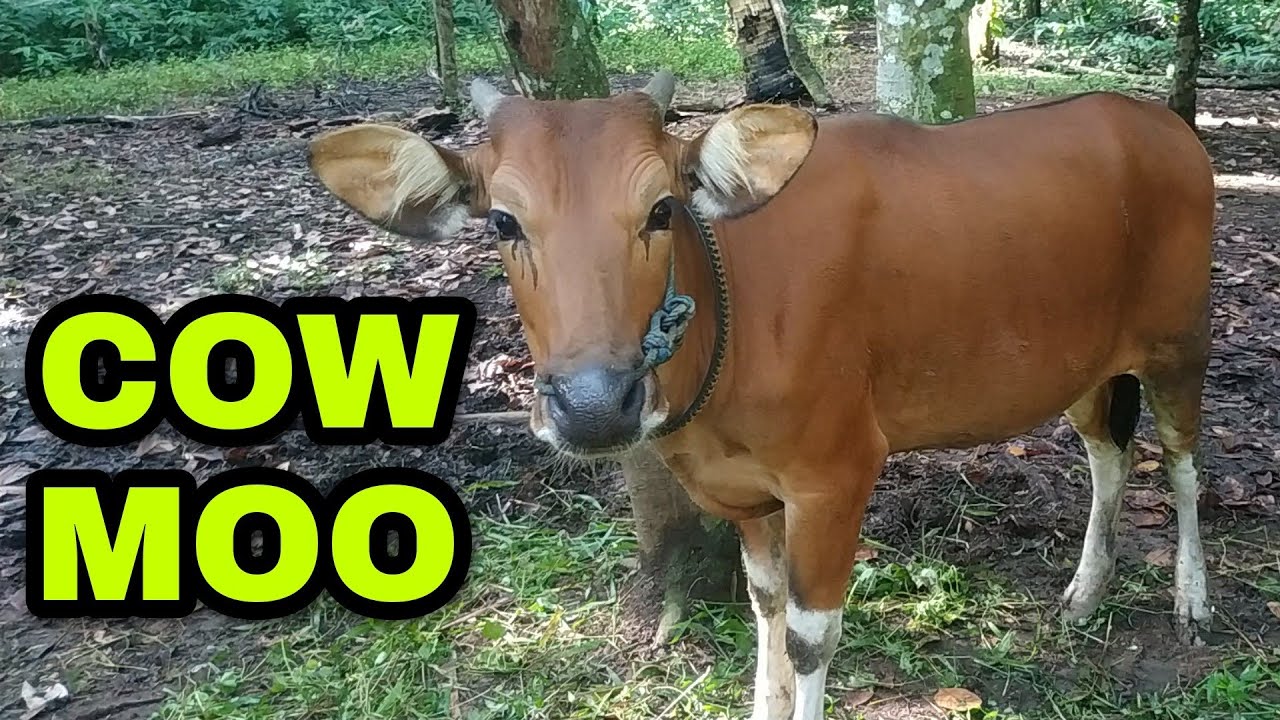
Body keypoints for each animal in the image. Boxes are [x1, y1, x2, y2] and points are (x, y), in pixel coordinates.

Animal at [305, 70, 1216, 720]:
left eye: (660, 209)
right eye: (502, 221)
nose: (595, 405)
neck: (733, 319)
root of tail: (1164, 125)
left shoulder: (836, 474)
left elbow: (811, 637)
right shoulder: (750, 495)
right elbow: (766, 610)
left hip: (1179, 343)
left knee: (1181, 465)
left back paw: (1192, 599)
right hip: (1086, 364)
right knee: (1107, 454)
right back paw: (1086, 591)